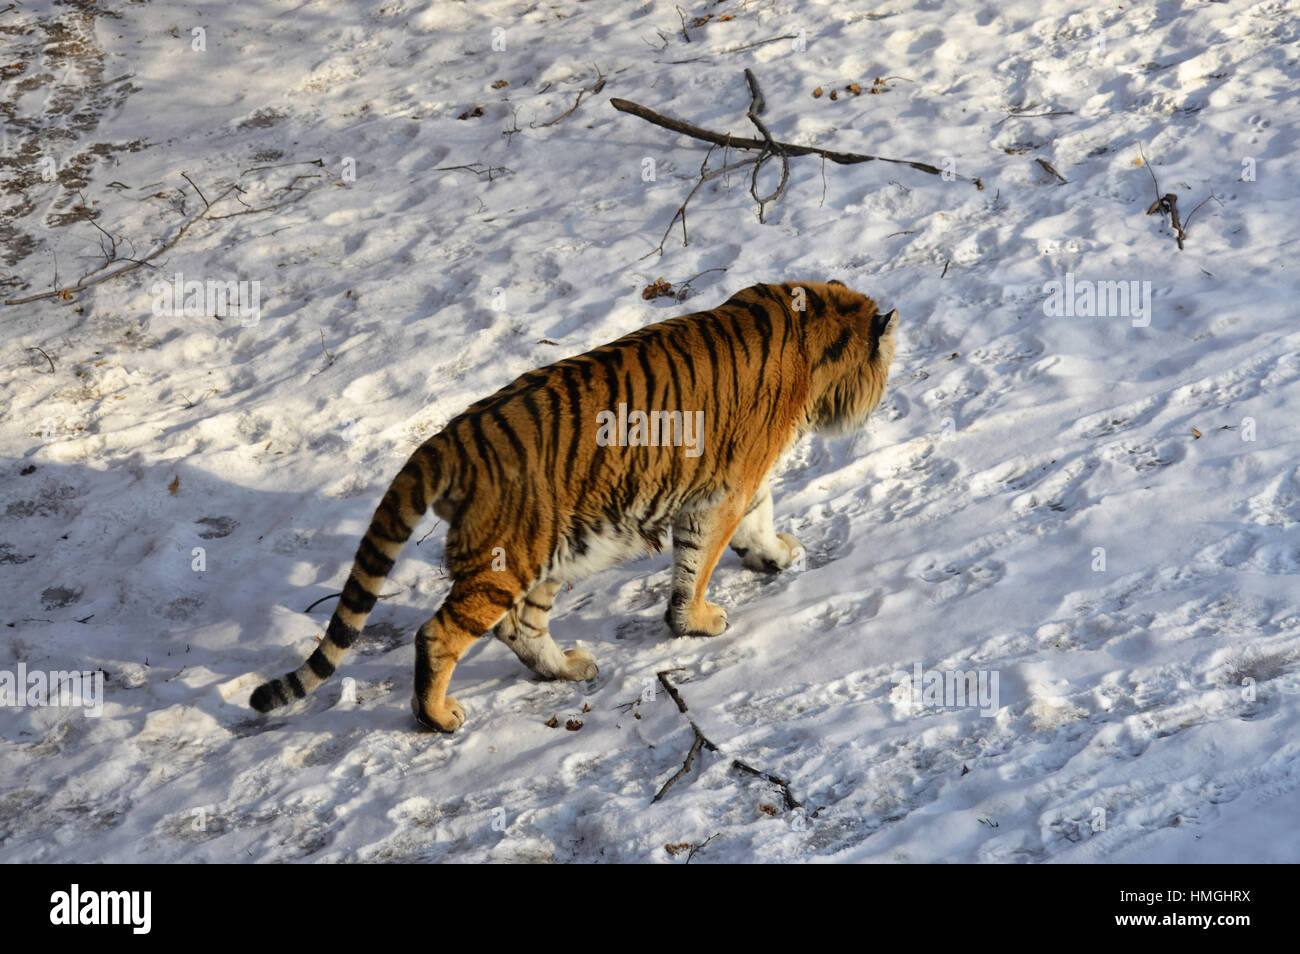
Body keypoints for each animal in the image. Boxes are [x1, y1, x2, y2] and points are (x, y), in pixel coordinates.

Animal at [249, 280, 899, 732]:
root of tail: (451, 435)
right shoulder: (723, 489)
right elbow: (699, 561)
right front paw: (695, 621)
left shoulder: (742, 480)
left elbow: (755, 521)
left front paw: (774, 556)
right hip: (510, 557)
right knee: (440, 634)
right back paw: (438, 718)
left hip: (549, 553)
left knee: (519, 625)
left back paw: (567, 667)